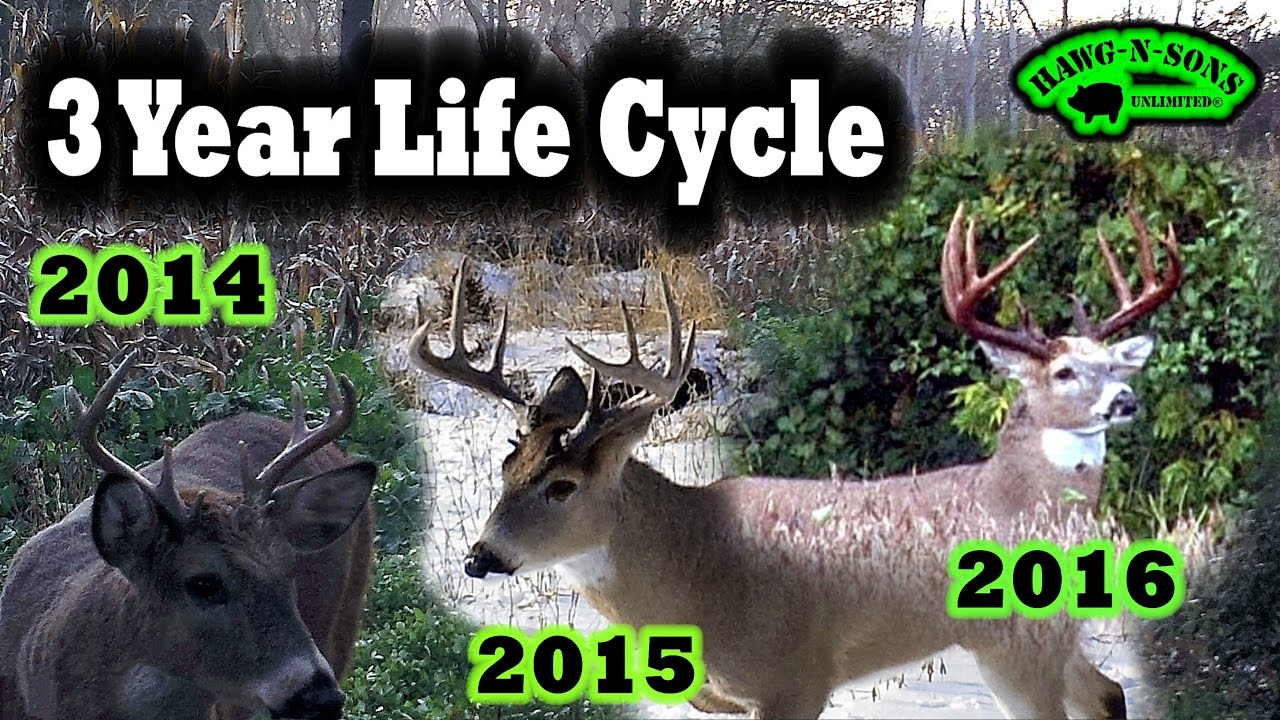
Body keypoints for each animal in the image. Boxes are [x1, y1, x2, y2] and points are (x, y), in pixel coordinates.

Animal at [410, 201, 1181, 719]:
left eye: (564, 485)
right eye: (507, 471)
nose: (480, 557)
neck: (694, 576)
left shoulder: (797, 675)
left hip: (1015, 645)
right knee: (1108, 692)